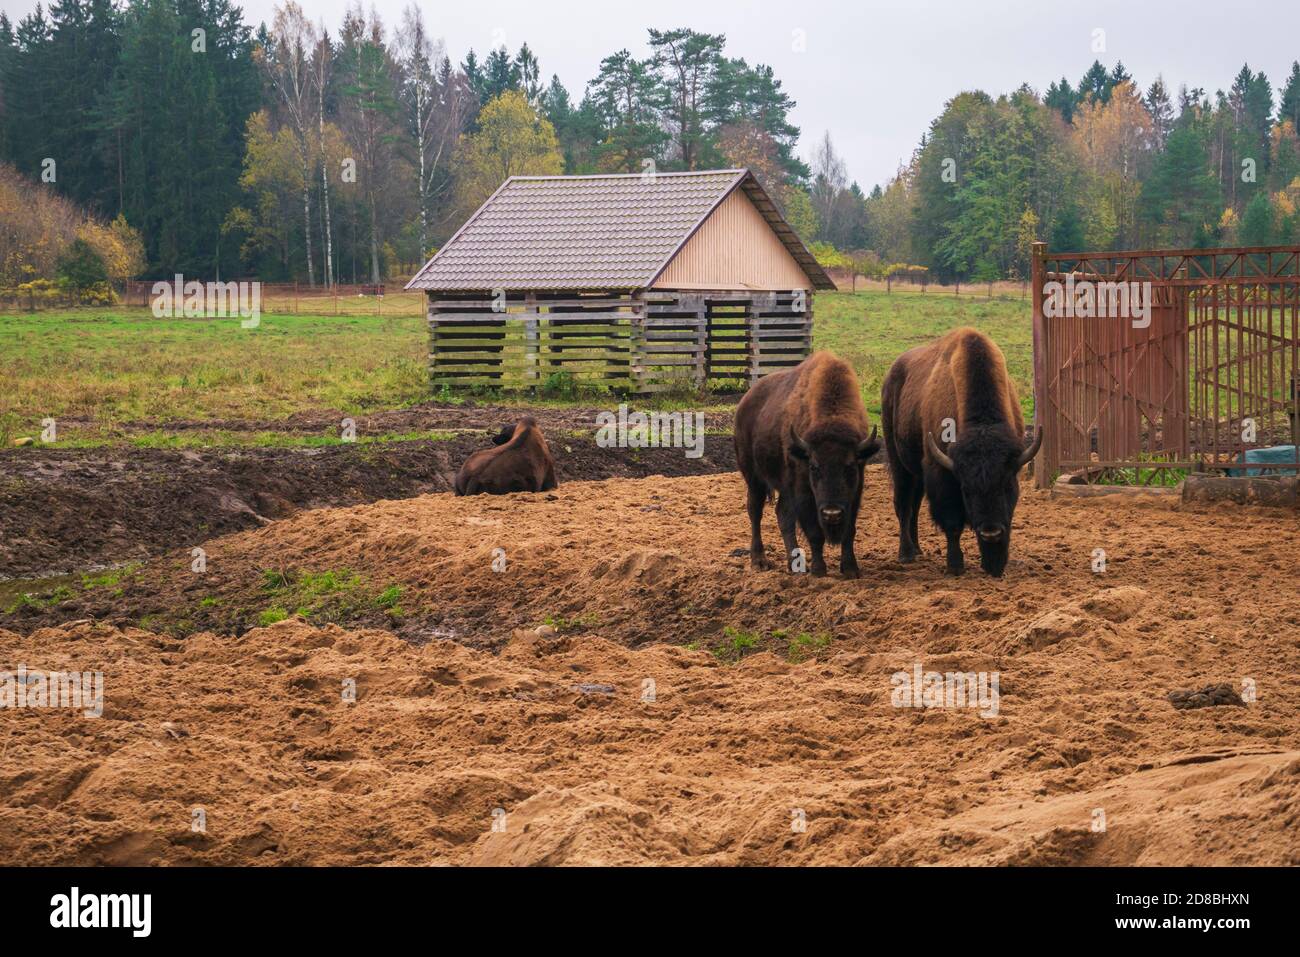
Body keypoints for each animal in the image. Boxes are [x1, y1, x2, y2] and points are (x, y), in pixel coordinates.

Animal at [734, 351, 881, 578]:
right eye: (814, 466)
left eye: (850, 467)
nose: (831, 513)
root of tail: (744, 403)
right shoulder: (803, 490)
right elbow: (814, 532)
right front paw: (819, 570)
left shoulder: (855, 491)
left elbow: (849, 530)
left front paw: (850, 569)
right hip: (754, 477)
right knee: (755, 512)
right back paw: (759, 561)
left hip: (783, 487)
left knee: (783, 515)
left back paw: (795, 564)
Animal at [880, 327, 1041, 577]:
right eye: (966, 489)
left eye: (1007, 486)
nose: (990, 532)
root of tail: (891, 376)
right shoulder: (942, 473)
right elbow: (952, 523)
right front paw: (955, 565)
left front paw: (995, 564)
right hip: (898, 461)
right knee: (903, 503)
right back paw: (906, 553)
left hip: (917, 472)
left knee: (914, 504)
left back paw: (917, 549)